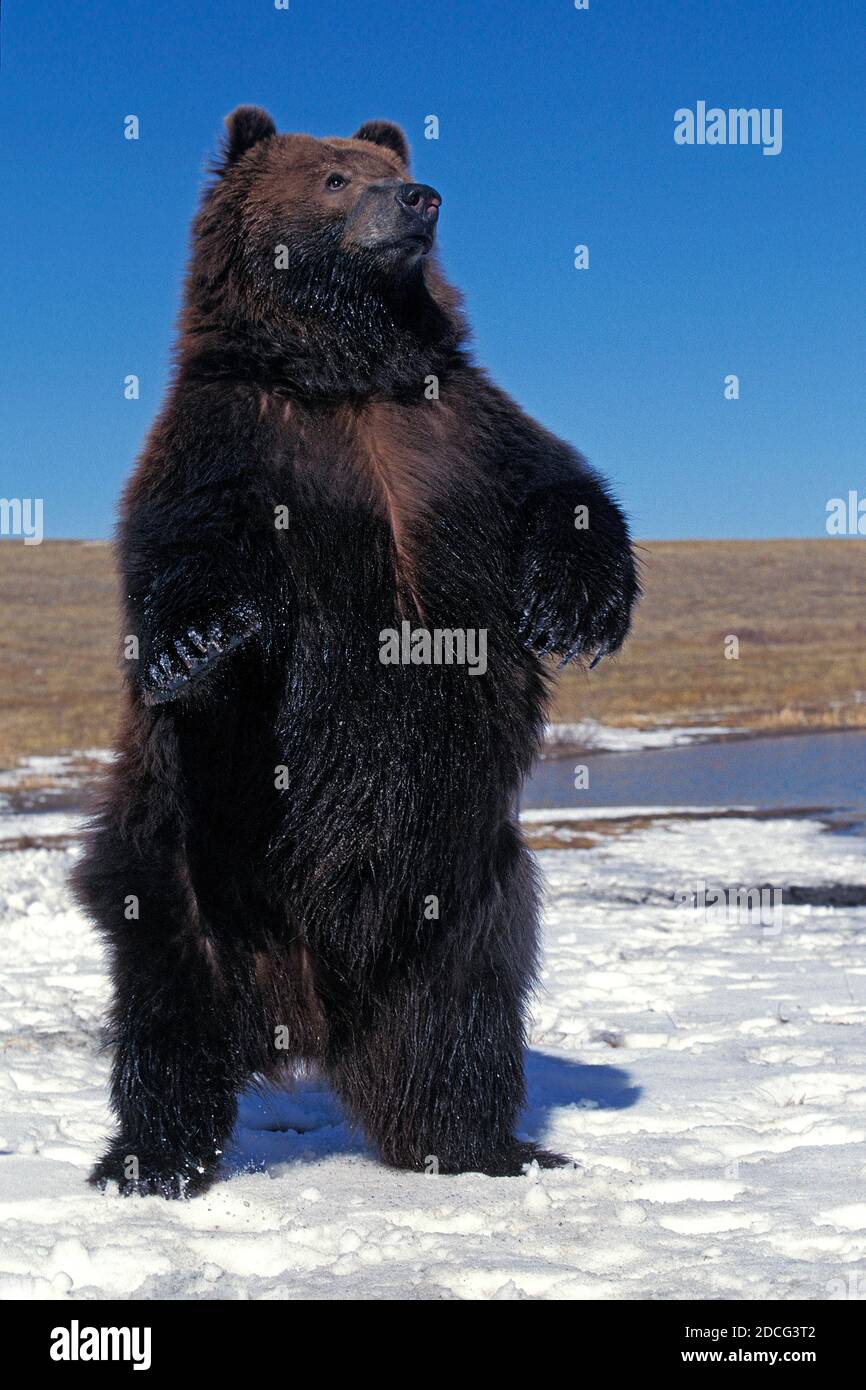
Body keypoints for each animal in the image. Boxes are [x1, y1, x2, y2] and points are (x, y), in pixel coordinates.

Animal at [73, 107, 638, 1197]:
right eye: (333, 177)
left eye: (387, 163)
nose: (418, 199)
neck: (347, 372)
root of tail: (305, 1013)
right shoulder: (235, 438)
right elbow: (187, 550)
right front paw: (200, 639)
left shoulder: (460, 430)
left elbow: (566, 489)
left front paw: (577, 613)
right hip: (186, 864)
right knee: (169, 1017)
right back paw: (152, 1160)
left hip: (463, 893)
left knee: (457, 1023)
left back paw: (484, 1146)